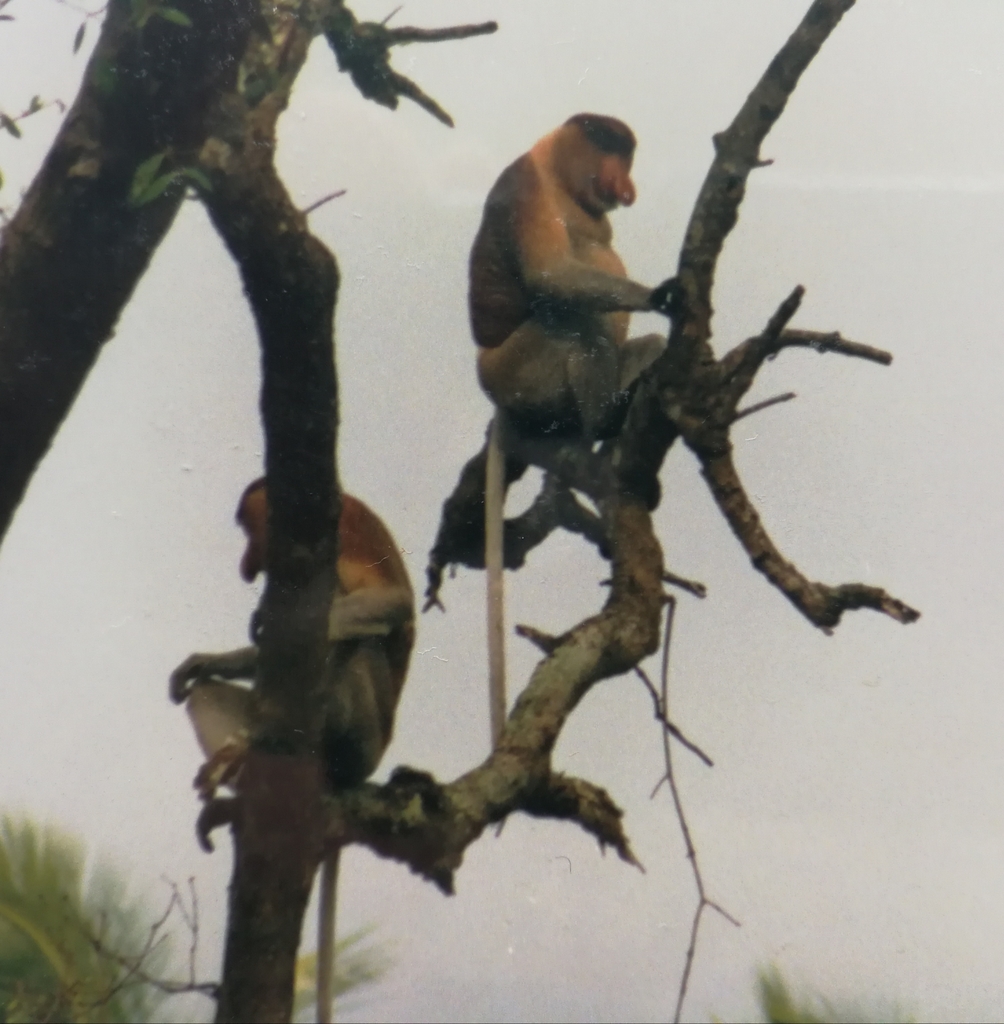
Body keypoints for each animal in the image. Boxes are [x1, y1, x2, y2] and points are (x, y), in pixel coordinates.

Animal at [169, 478, 414, 1024]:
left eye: (247, 527)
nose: (247, 564)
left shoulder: (341, 543)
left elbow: (390, 602)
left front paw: (260, 623)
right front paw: (200, 664)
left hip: (363, 740)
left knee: (356, 636)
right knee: (208, 696)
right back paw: (235, 784)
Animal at [468, 113, 678, 746]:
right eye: (613, 152)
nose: (625, 186)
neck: (557, 172)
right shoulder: (525, 188)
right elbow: (550, 276)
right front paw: (661, 294)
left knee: (641, 347)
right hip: (515, 371)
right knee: (576, 323)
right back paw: (599, 428)